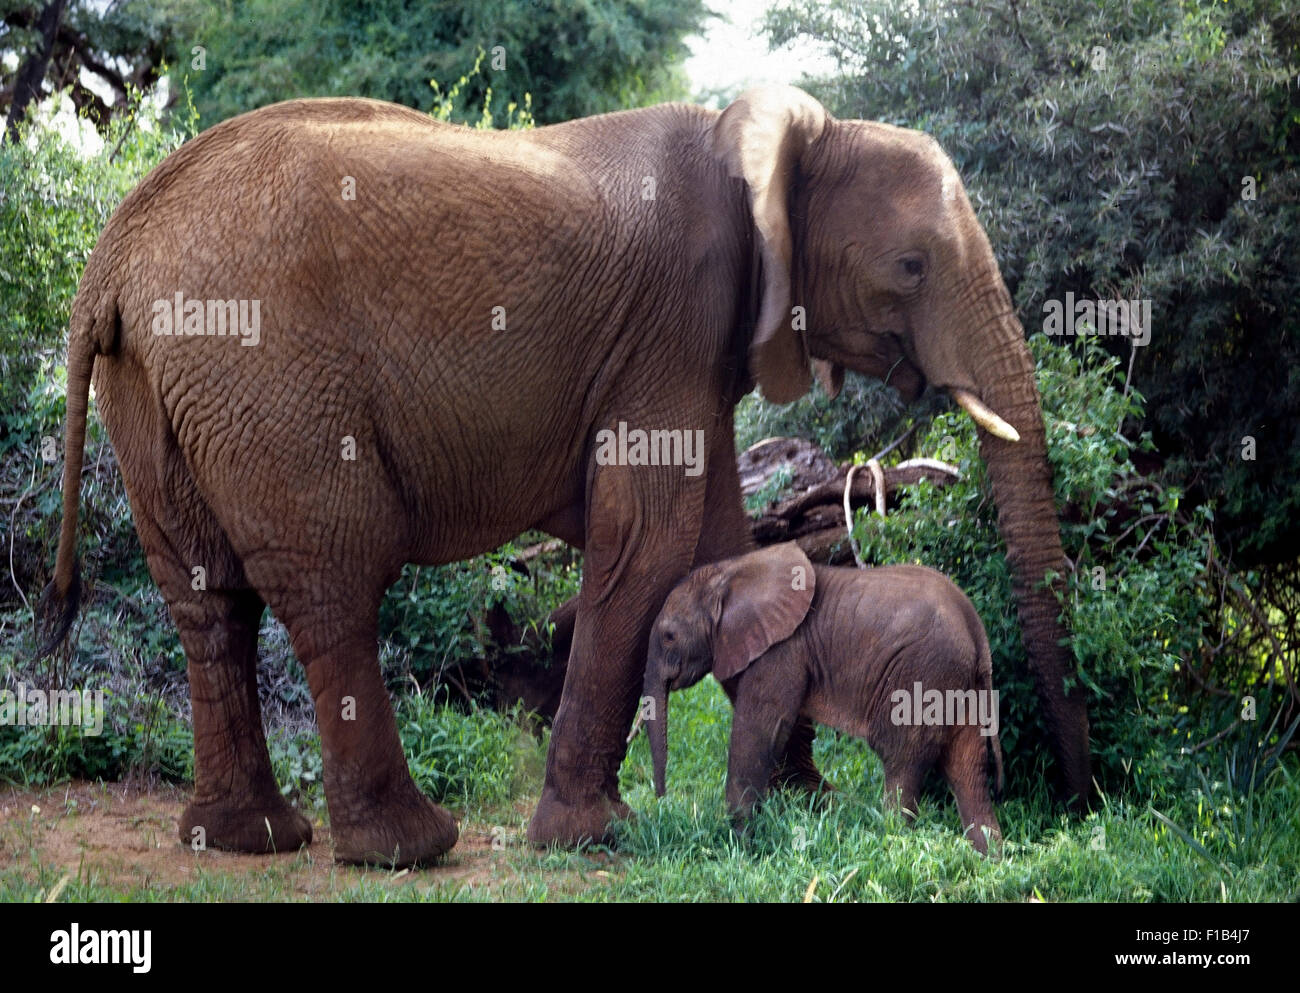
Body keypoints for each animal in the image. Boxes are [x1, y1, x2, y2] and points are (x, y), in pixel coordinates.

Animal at [634, 542, 1004, 854]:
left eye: (668, 637)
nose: (660, 796)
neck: (731, 571)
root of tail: (976, 631)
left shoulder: (783, 648)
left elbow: (762, 727)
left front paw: (738, 840)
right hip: (960, 684)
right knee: (968, 767)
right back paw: (990, 857)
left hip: (920, 674)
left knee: (903, 760)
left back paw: (891, 840)